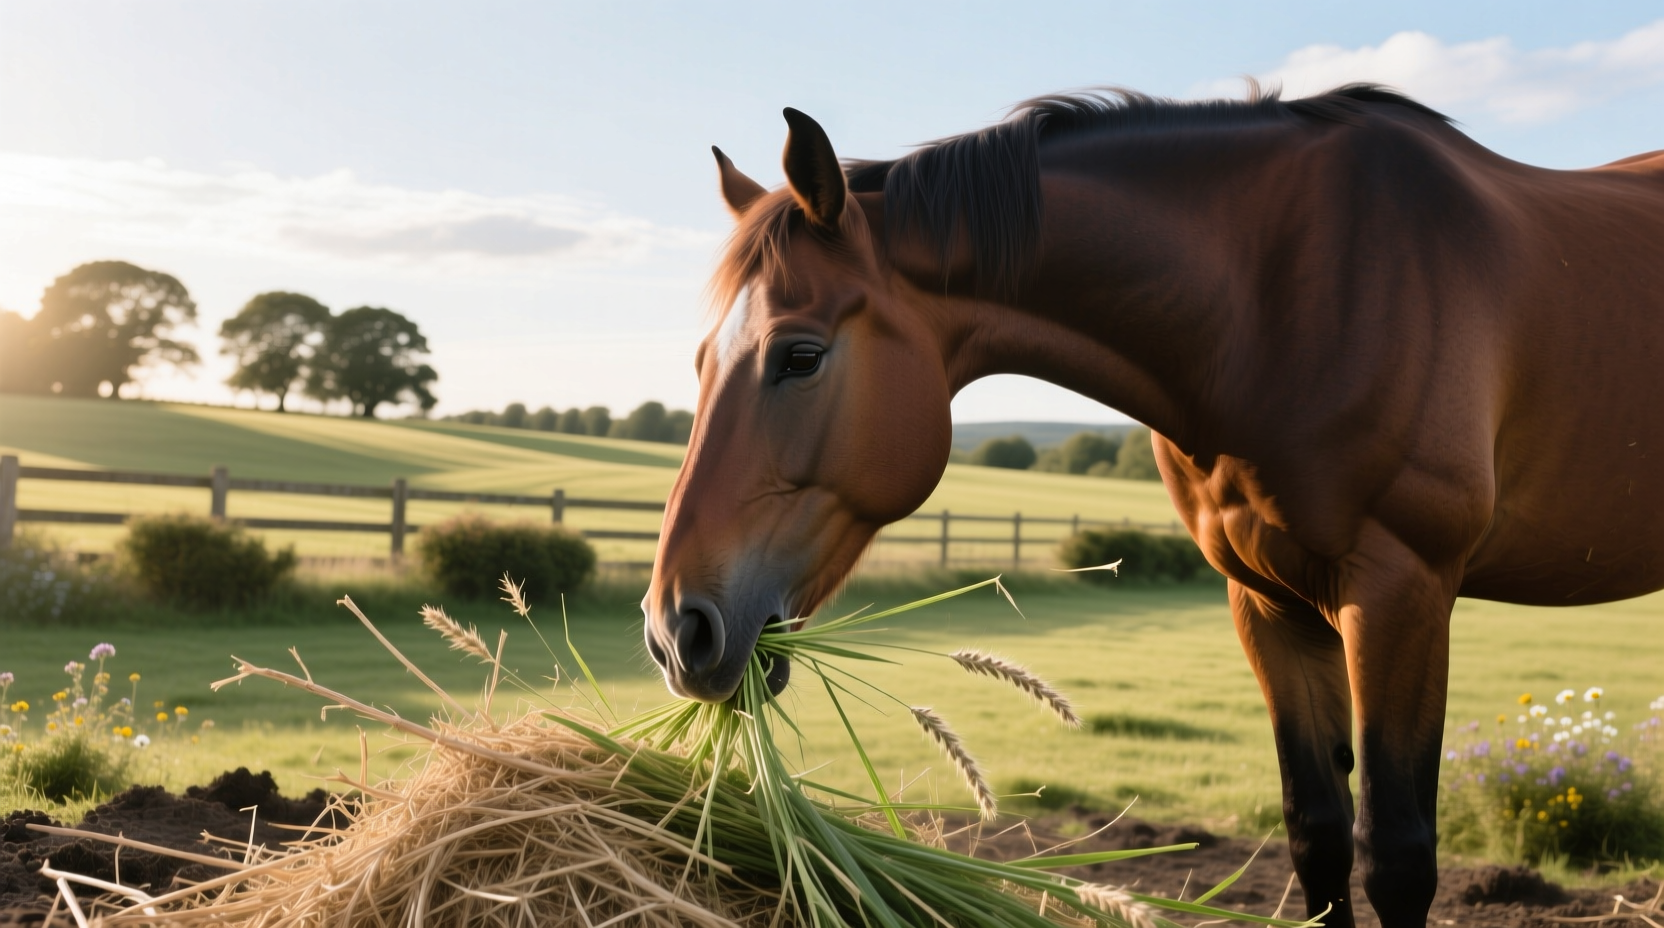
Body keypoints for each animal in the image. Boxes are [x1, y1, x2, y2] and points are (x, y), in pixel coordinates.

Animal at [641, 85, 1664, 927]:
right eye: (700, 360)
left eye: (800, 355)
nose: (674, 630)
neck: (1285, 300)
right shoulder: (1268, 602)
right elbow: (1318, 836)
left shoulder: (1402, 595)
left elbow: (1398, 855)